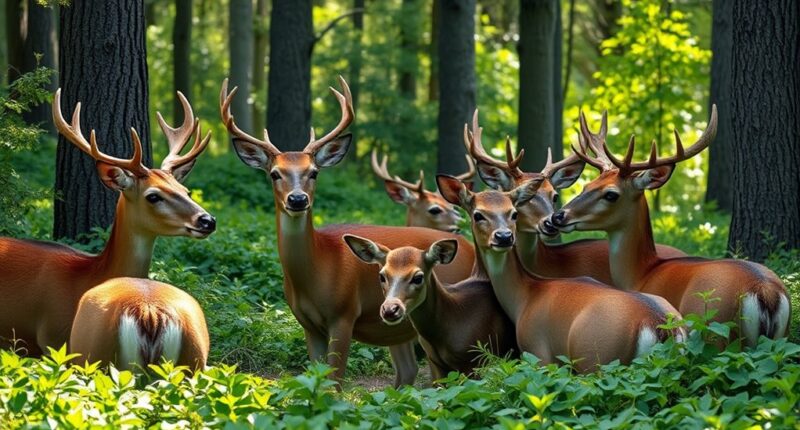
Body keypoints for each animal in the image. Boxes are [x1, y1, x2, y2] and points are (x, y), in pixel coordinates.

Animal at [220, 76, 475, 387]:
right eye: (274, 173)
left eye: (314, 172)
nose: (297, 199)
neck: (317, 269)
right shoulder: (308, 325)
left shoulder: (343, 315)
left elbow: (336, 383)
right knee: (408, 371)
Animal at [436, 173, 685, 373]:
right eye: (478, 214)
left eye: (513, 213)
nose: (504, 237)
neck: (526, 296)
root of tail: (659, 326)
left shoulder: (537, 351)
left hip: (596, 360)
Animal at [552, 105, 790, 347]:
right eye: (587, 185)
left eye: (611, 194)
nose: (559, 216)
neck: (642, 274)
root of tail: (765, 292)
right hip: (782, 334)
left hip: (713, 326)